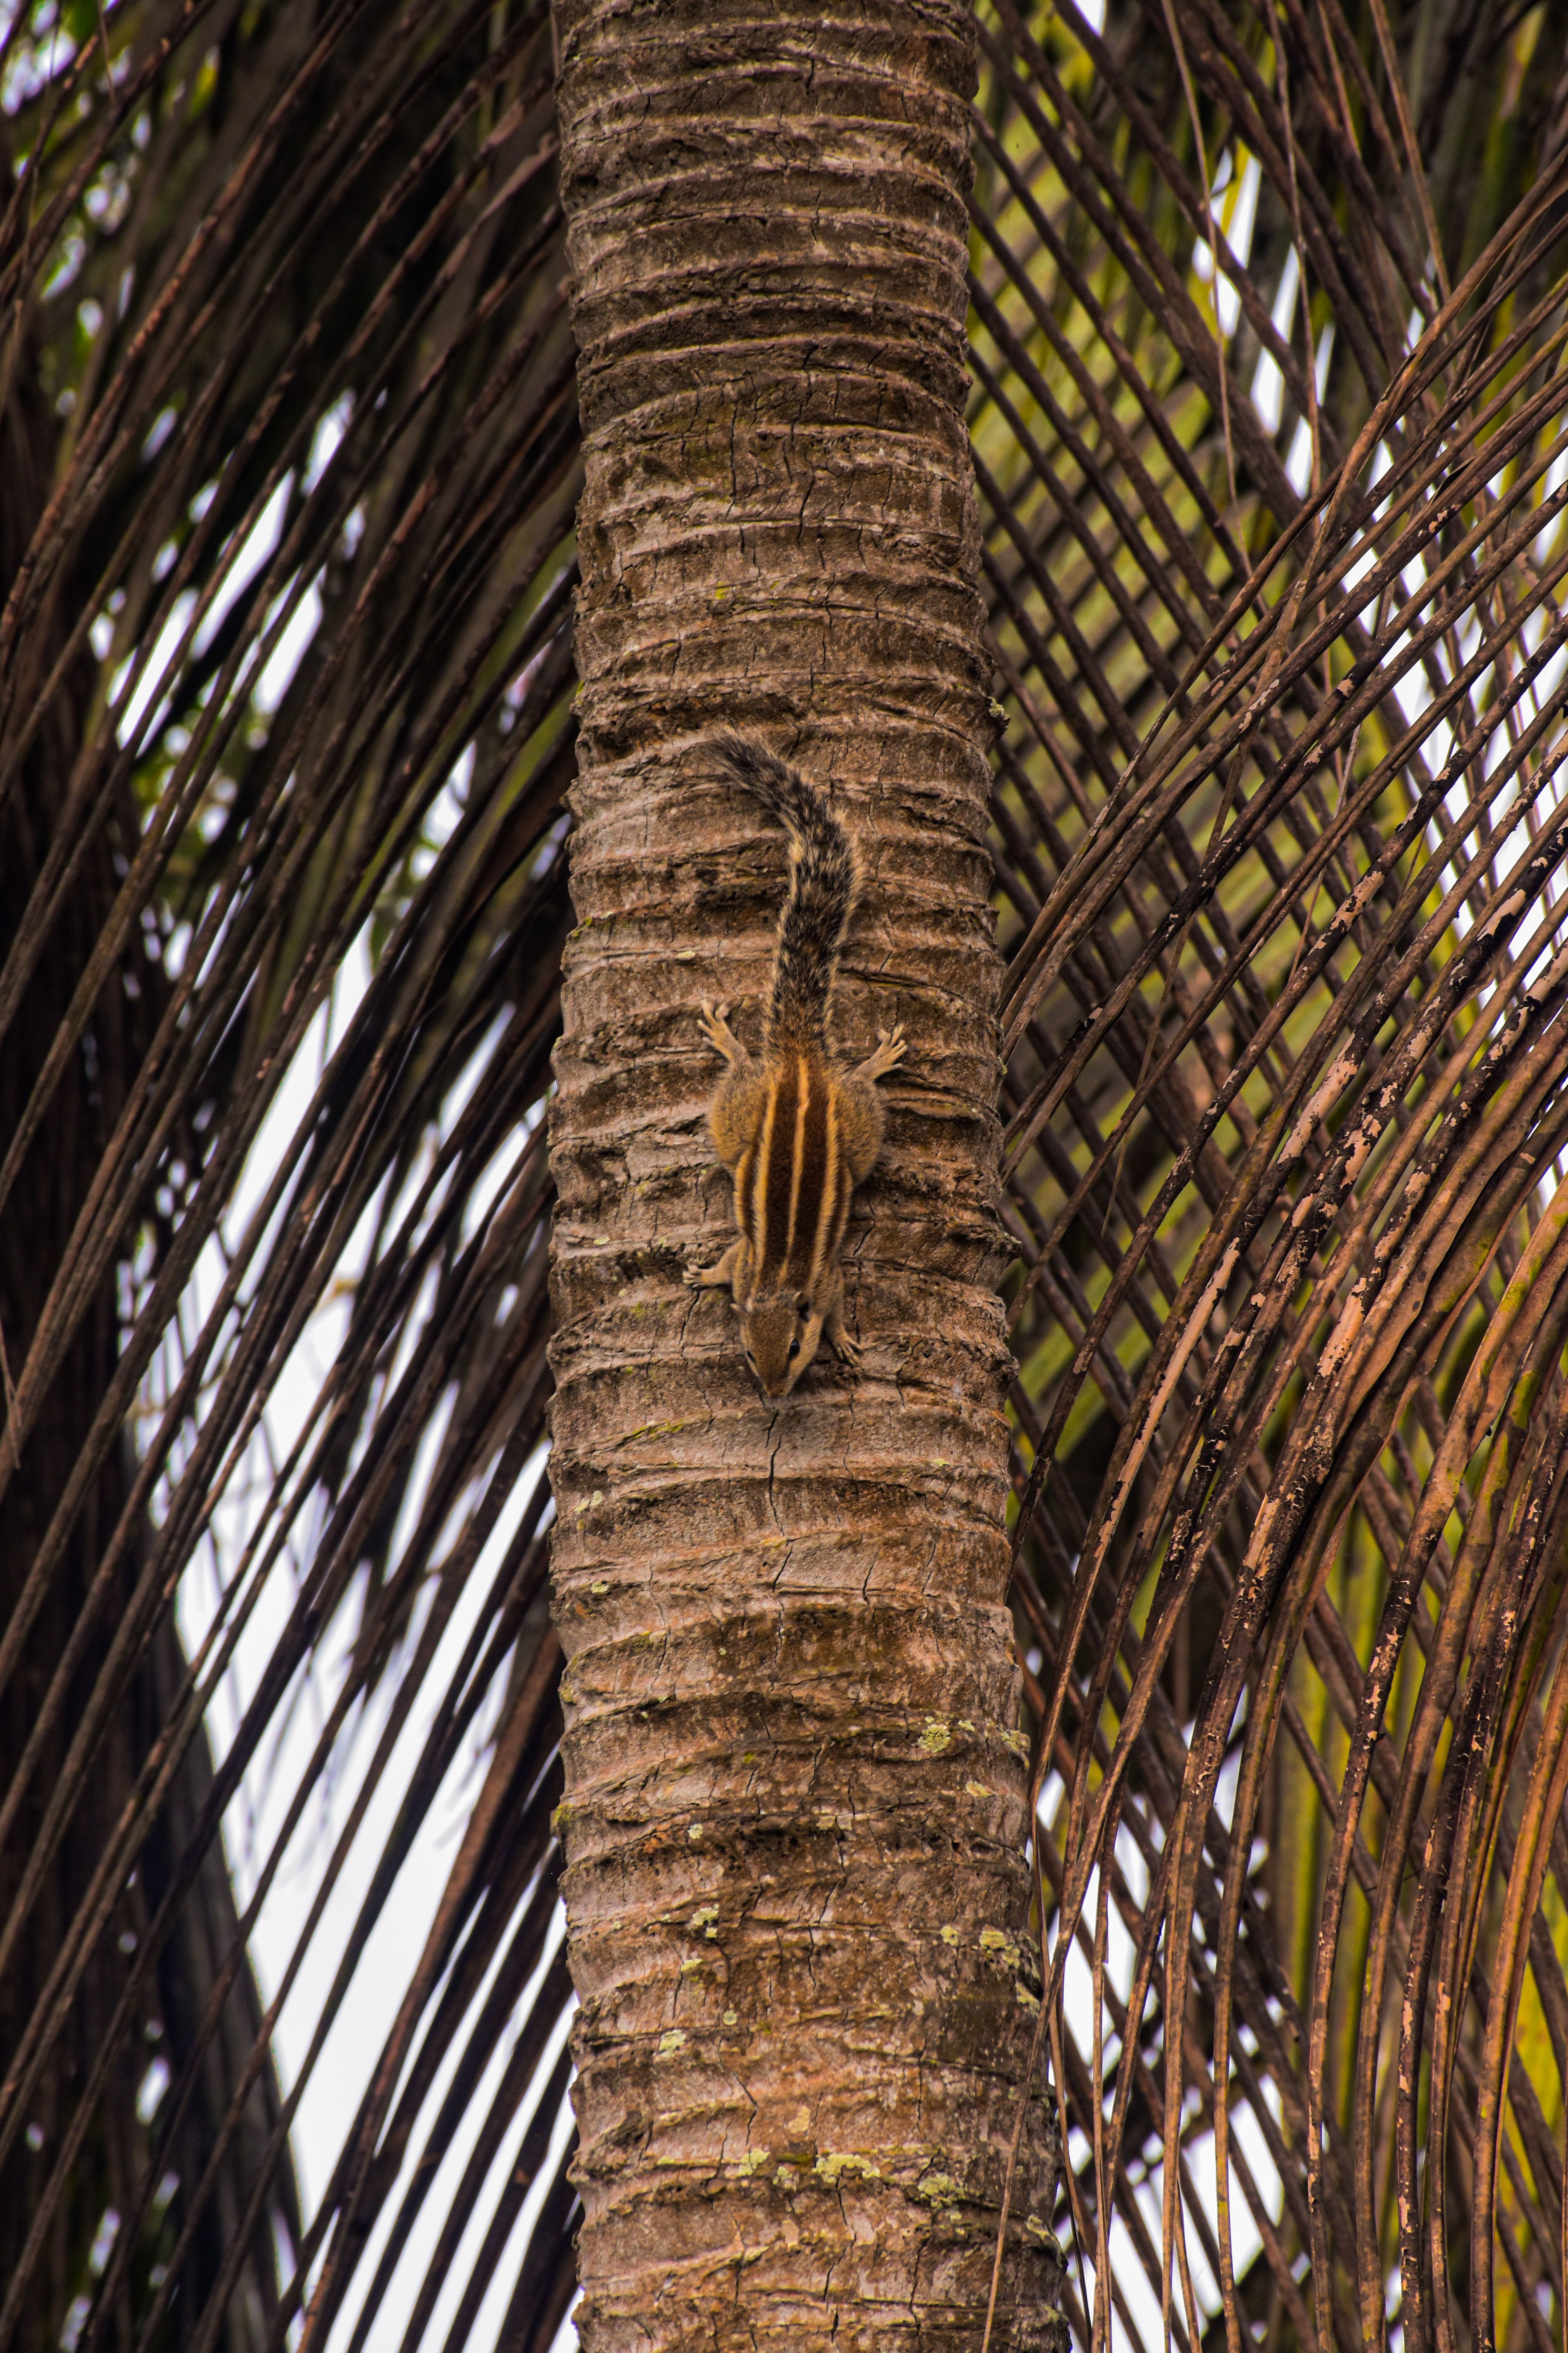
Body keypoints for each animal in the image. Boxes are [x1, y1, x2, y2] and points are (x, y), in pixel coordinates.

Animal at [685, 733, 905, 1398]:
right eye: (748, 1354)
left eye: (793, 1347)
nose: (773, 1397)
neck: (780, 1282)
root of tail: (798, 1059)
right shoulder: (747, 1263)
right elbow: (728, 1264)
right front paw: (706, 1276)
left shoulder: (827, 1278)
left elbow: (834, 1307)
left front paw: (842, 1341)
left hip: (828, 1125)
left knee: (842, 1087)